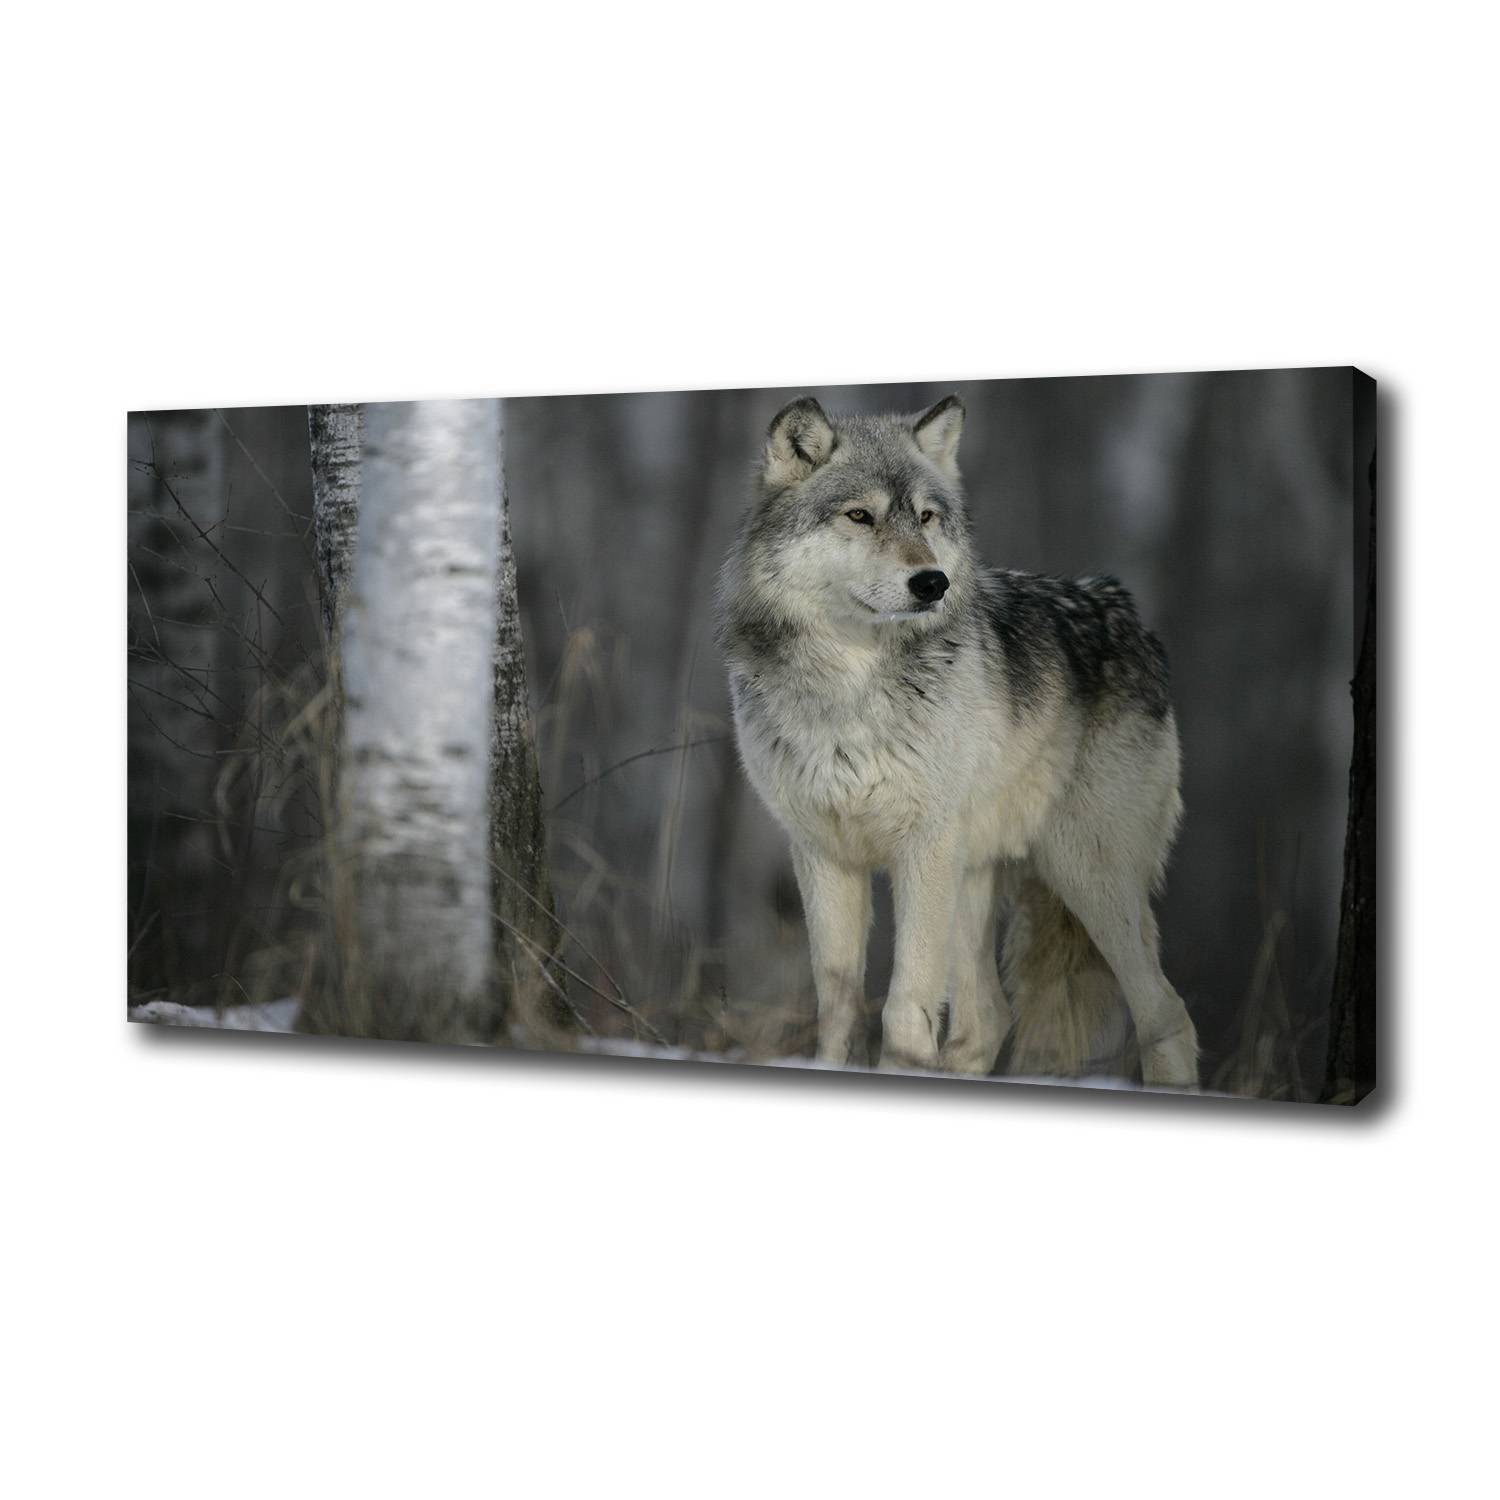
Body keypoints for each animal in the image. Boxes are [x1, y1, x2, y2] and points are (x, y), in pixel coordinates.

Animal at [717, 394, 1198, 1088]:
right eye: (860, 516)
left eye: (925, 516)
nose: (932, 582)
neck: (850, 684)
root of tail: (1125, 610)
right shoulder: (825, 854)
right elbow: (838, 1005)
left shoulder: (922, 848)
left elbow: (903, 1007)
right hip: (975, 878)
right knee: (988, 1019)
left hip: (1085, 874)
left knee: (1166, 1012)